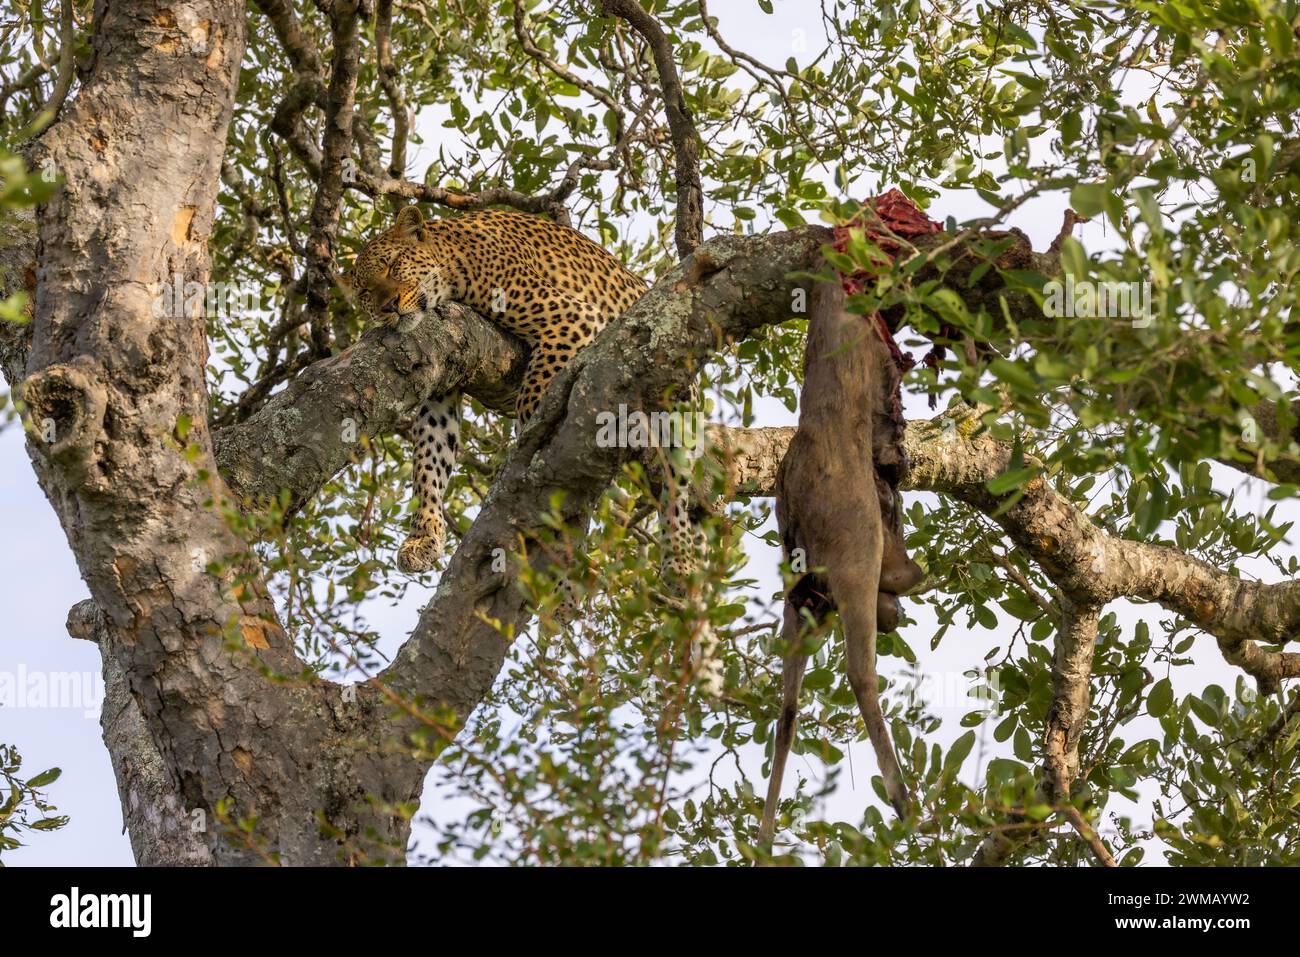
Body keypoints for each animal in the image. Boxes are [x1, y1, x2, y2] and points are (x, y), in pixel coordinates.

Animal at [347, 205, 704, 602]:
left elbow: (535, 395)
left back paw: (678, 563)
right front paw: (423, 536)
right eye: (365, 291)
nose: (388, 306)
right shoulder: (445, 371)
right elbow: (430, 460)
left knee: (676, 487)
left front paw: (530, 455)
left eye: (393, 264)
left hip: (678, 407)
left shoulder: (570, 317)